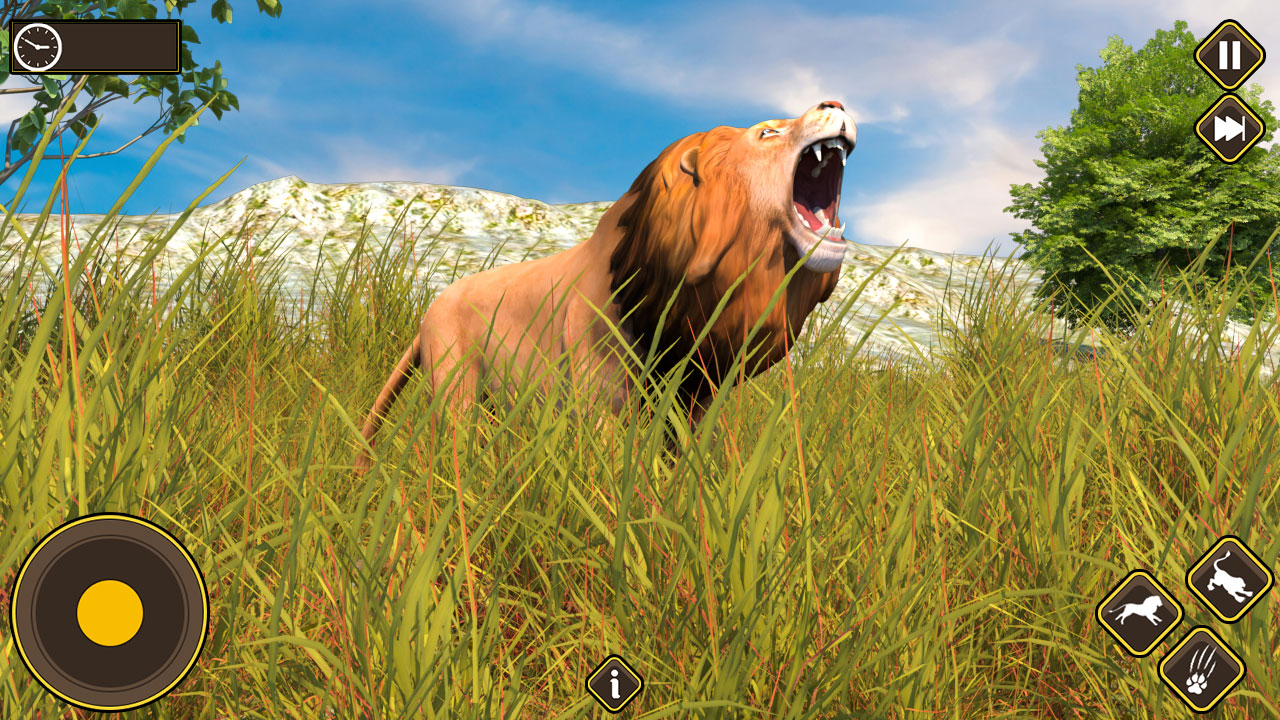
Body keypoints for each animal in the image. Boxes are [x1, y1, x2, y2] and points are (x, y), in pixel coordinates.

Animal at [355, 100, 856, 472]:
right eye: (767, 133)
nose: (835, 104)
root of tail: (428, 312)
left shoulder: (693, 395)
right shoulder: (601, 397)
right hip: (455, 383)